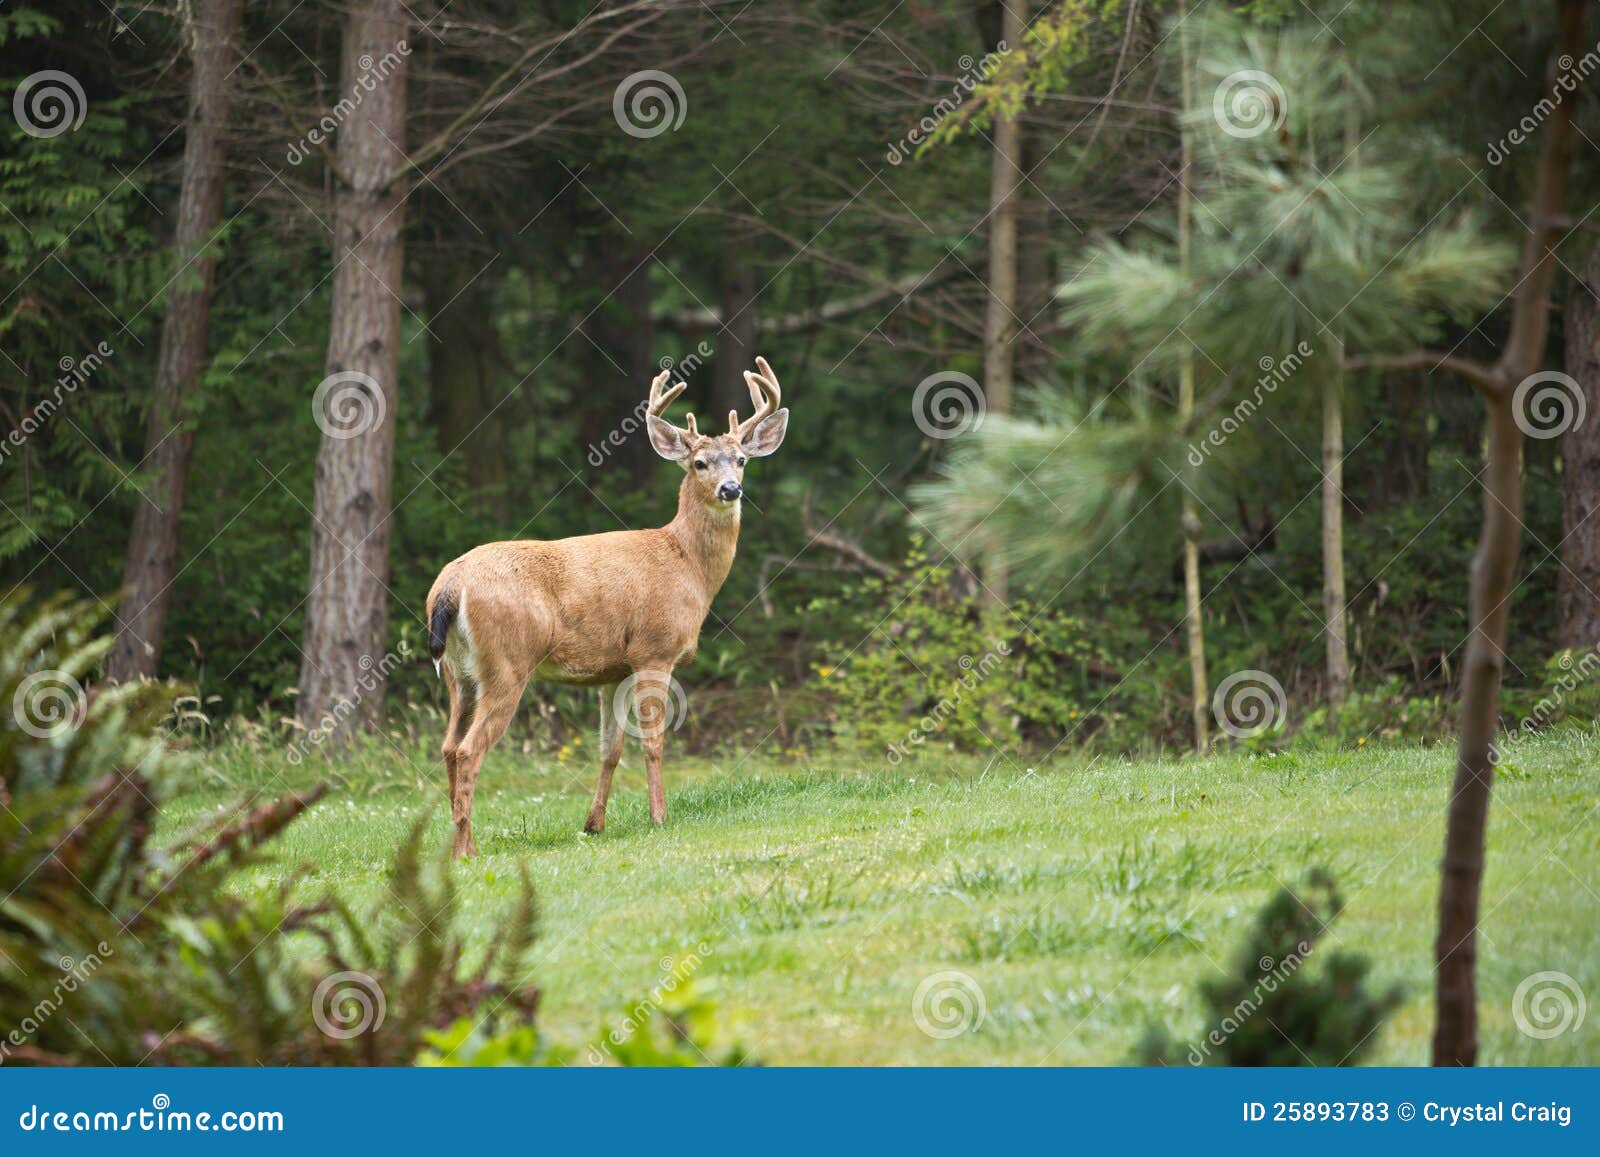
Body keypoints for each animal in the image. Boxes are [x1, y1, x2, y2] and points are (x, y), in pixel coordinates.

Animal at [424, 357, 789, 857]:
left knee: (446, 746)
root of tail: (449, 587)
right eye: (699, 463)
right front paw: (659, 818)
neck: (687, 565)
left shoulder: (611, 669)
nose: (730, 489)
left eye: (741, 459)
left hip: (458, 673)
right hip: (507, 662)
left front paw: (593, 824)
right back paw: (466, 850)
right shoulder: (654, 649)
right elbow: (653, 743)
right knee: (467, 750)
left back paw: (454, 841)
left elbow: (608, 749)